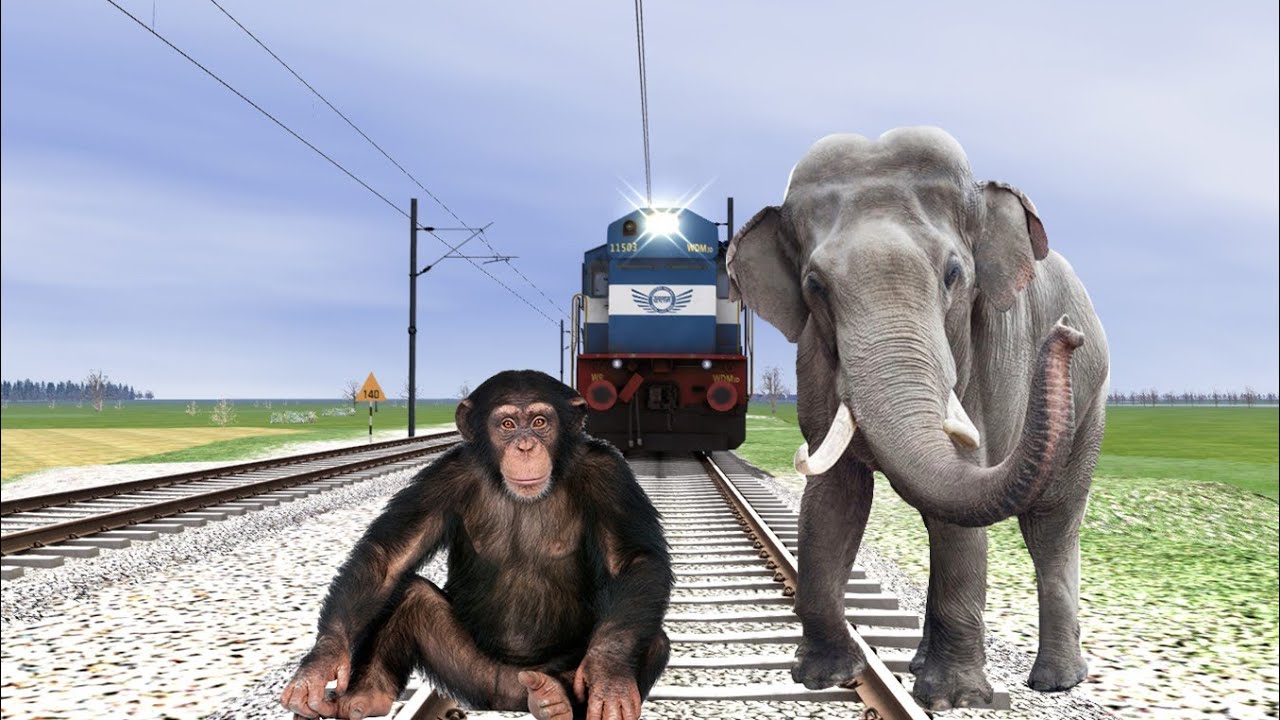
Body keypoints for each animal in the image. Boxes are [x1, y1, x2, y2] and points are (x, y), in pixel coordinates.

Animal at [281, 370, 673, 720]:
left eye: (541, 421)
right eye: (508, 425)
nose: (525, 445)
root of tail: (510, 695)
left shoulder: (608, 473)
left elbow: (633, 559)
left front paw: (609, 676)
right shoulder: (444, 476)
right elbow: (389, 556)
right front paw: (321, 663)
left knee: (651, 639)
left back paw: (556, 699)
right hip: (471, 676)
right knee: (409, 596)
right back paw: (368, 695)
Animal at [726, 127, 1109, 710]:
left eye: (954, 274)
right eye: (815, 286)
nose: (1065, 333)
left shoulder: (992, 359)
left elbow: (962, 502)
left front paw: (953, 700)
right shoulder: (813, 359)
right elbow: (833, 499)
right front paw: (825, 676)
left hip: (1092, 399)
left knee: (1052, 525)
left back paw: (1055, 681)